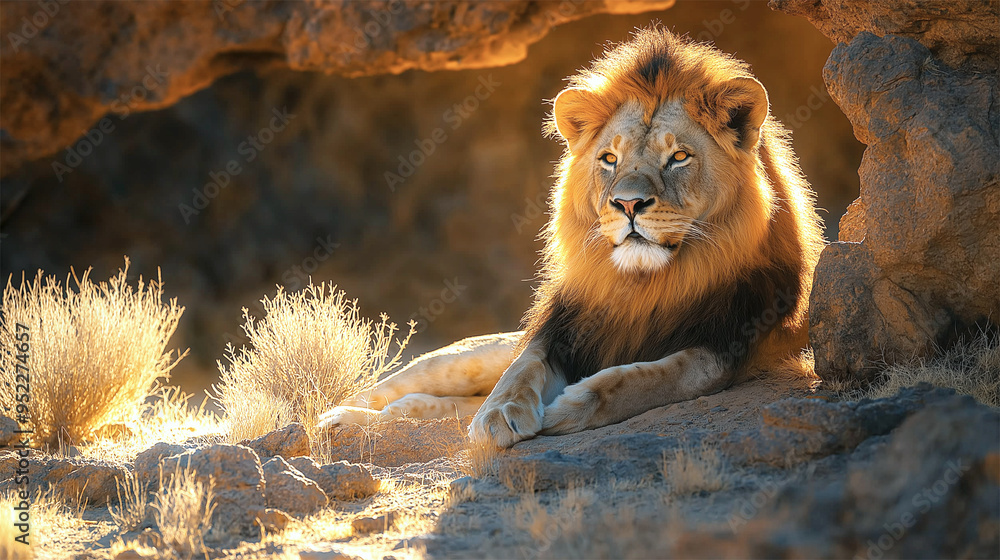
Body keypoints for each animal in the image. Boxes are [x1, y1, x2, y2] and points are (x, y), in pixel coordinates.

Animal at [319, 27, 824, 448]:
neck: (646, 284)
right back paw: (334, 419)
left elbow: (652, 377)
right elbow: (521, 369)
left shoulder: (728, 346)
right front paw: (500, 413)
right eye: (609, 159)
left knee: (420, 406)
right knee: (393, 388)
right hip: (464, 357)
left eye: (679, 157)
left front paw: (568, 408)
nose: (627, 205)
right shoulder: (558, 332)